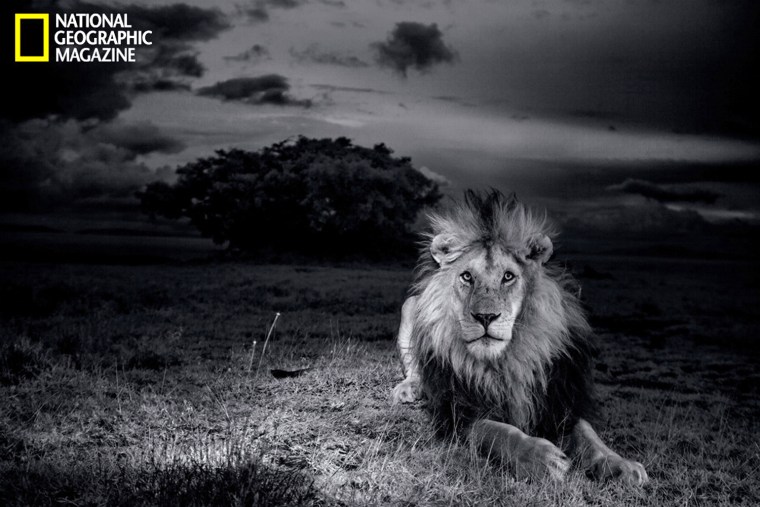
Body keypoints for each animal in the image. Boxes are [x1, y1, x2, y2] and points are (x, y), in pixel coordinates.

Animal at [392, 190, 648, 485]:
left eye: (508, 276)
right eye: (466, 276)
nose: (485, 316)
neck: (505, 361)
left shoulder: (557, 398)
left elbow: (589, 435)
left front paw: (621, 464)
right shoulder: (457, 412)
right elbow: (496, 431)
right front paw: (541, 457)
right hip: (410, 306)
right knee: (414, 368)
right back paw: (409, 388)